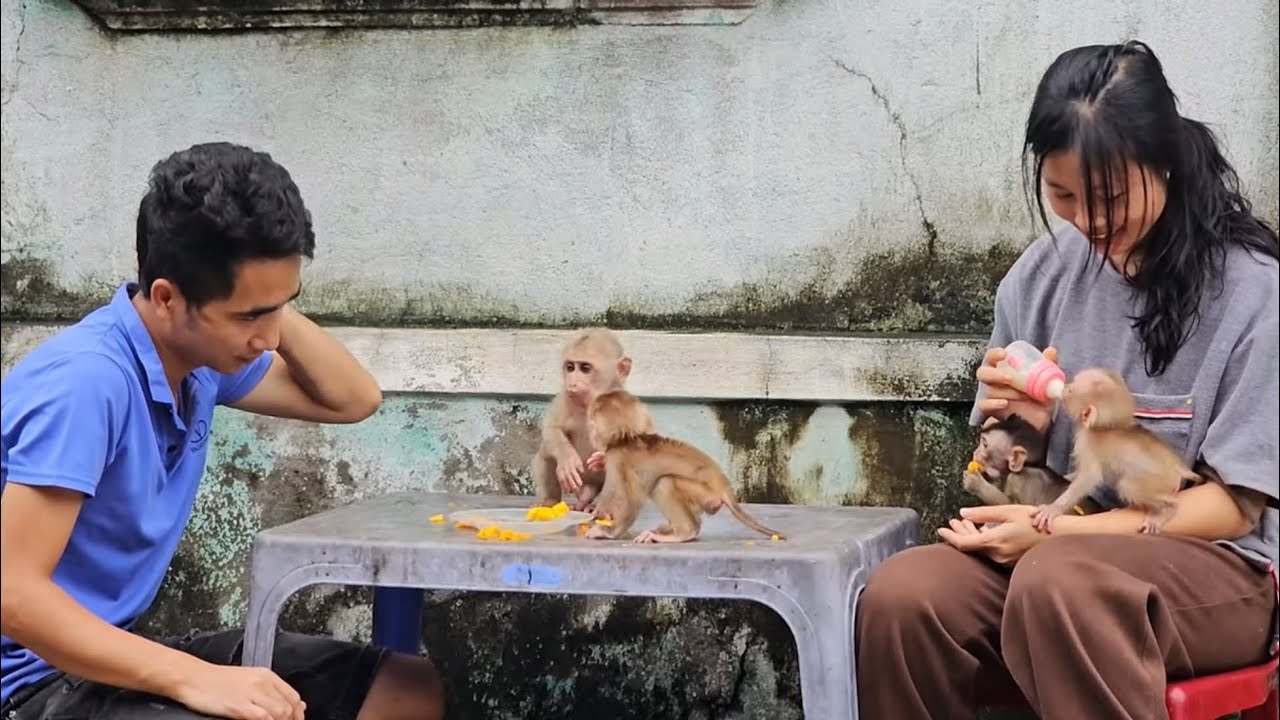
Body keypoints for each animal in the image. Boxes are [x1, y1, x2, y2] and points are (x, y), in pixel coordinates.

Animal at [531, 328, 655, 512]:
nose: (572, 383)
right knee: (548, 452)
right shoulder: (565, 397)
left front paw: (603, 458)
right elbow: (552, 428)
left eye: (585, 368)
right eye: (570, 367)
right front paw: (566, 458)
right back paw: (552, 501)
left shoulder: (629, 403)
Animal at [581, 389, 785, 544]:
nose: (590, 432)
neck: (628, 438)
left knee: (664, 483)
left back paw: (684, 533)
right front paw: (599, 460)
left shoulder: (618, 459)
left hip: (704, 493)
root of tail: (724, 487)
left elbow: (628, 501)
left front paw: (606, 532)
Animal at [1031, 368, 1200, 534]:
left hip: (1159, 480)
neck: (1101, 427)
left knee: (1129, 486)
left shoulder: (1087, 443)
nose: (1065, 386)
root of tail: (1175, 465)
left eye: (1070, 391)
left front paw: (1053, 509)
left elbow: (1089, 478)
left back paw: (1168, 508)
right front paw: (1068, 478)